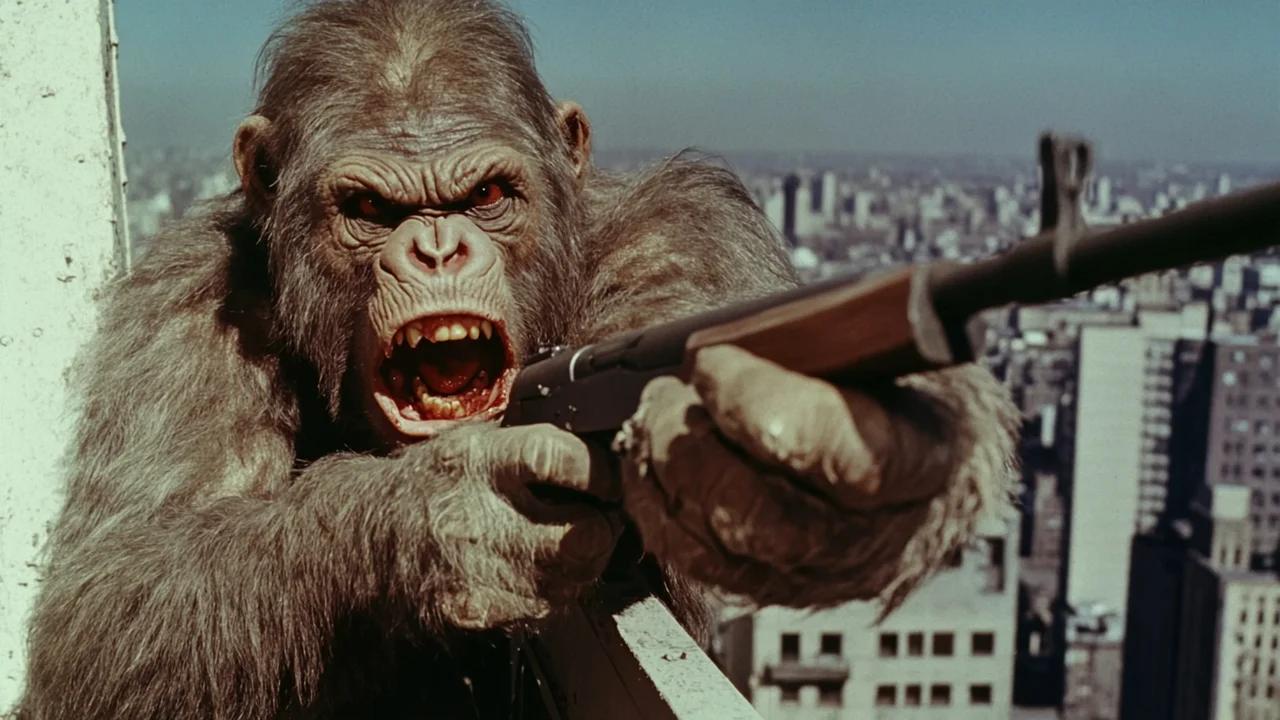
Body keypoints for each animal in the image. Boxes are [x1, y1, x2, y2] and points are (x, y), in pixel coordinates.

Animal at [18, 1, 1016, 718]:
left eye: (487, 195)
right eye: (372, 211)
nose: (435, 248)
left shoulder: (689, 240)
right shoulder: (181, 309)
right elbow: (106, 606)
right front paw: (438, 521)